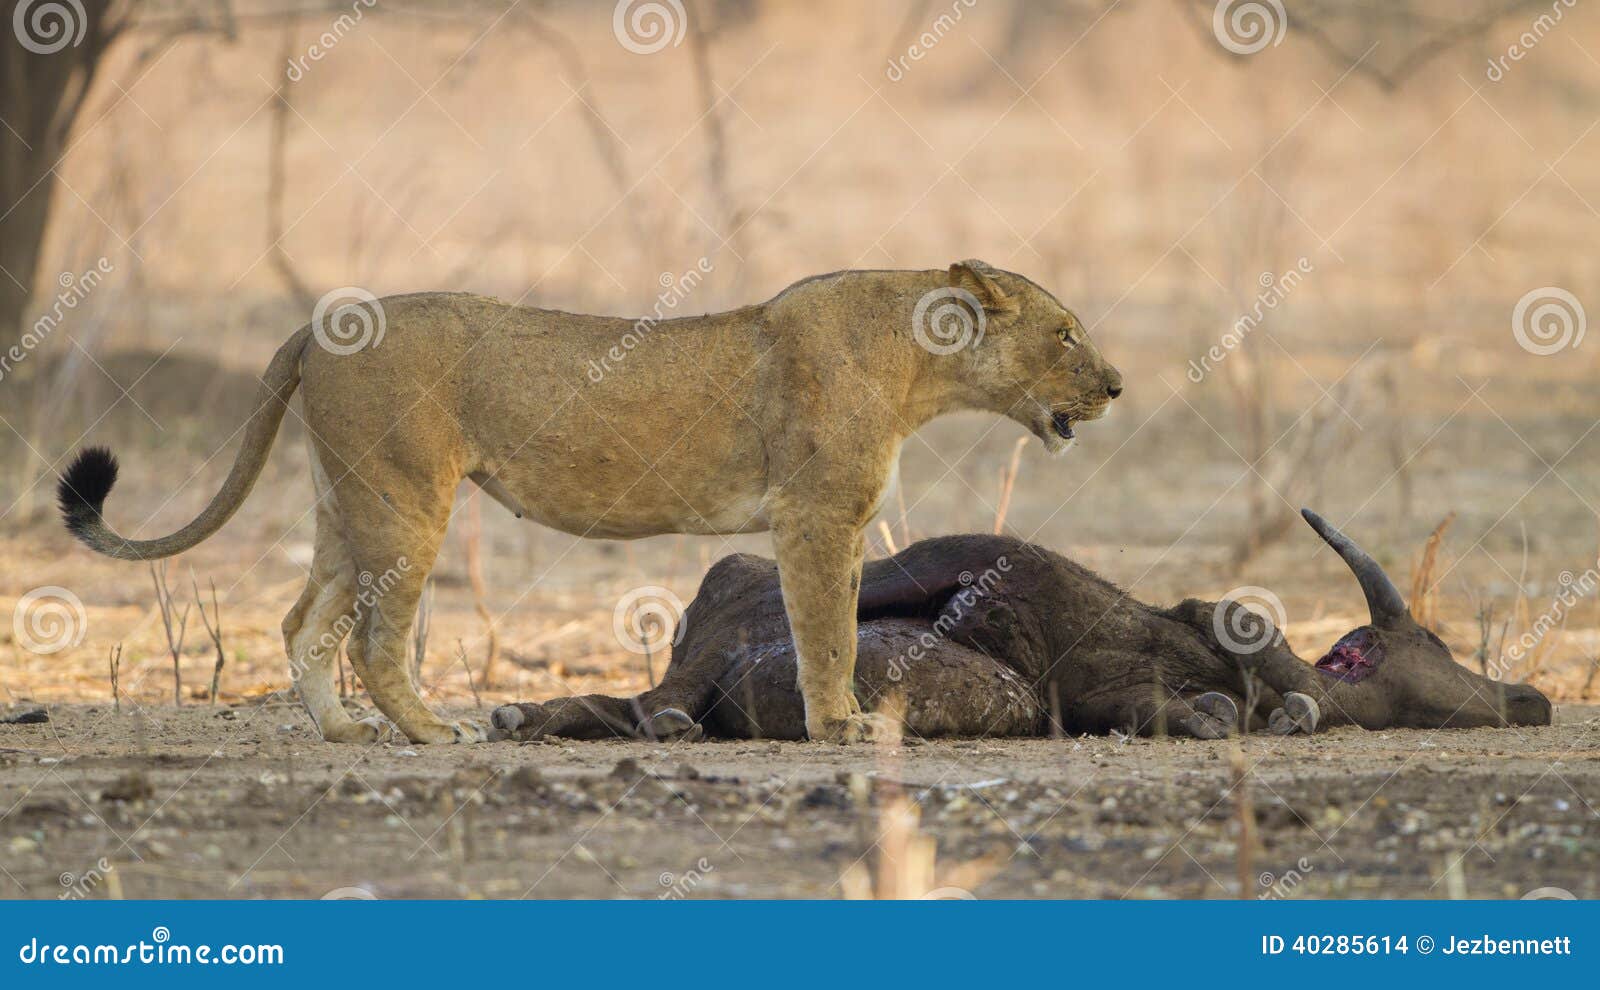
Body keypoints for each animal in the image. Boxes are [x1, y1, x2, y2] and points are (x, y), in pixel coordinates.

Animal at [56, 260, 1123, 744]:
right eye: (1065, 332)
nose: (1116, 385)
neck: (919, 369)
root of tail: (322, 325)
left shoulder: (835, 524)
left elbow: (836, 629)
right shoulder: (816, 518)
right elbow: (825, 634)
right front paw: (840, 728)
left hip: (342, 499)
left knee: (302, 620)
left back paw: (344, 732)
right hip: (406, 498)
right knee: (372, 637)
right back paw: (433, 733)